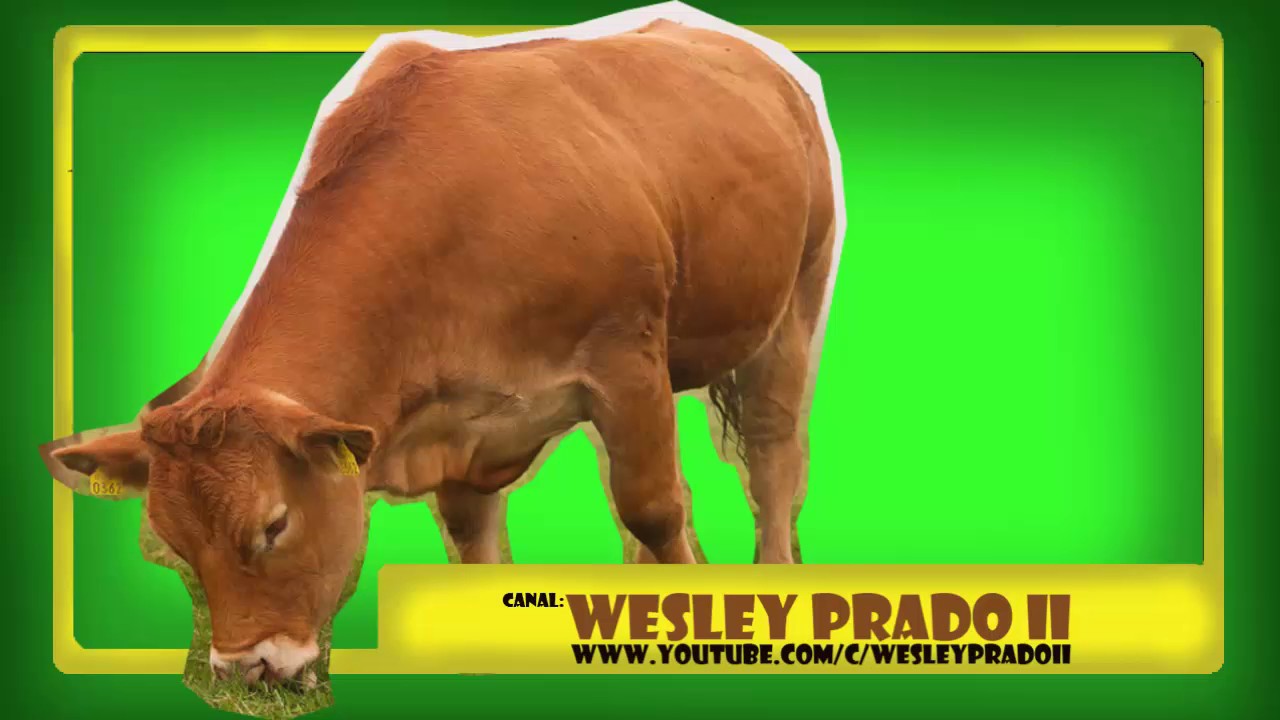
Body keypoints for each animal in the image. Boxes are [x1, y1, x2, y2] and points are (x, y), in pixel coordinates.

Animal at [46, 19, 838, 684]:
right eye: (173, 542)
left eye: (274, 524)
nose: (247, 669)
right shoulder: (460, 432)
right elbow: (478, 551)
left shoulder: (626, 359)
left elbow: (654, 508)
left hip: (794, 302)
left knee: (772, 458)